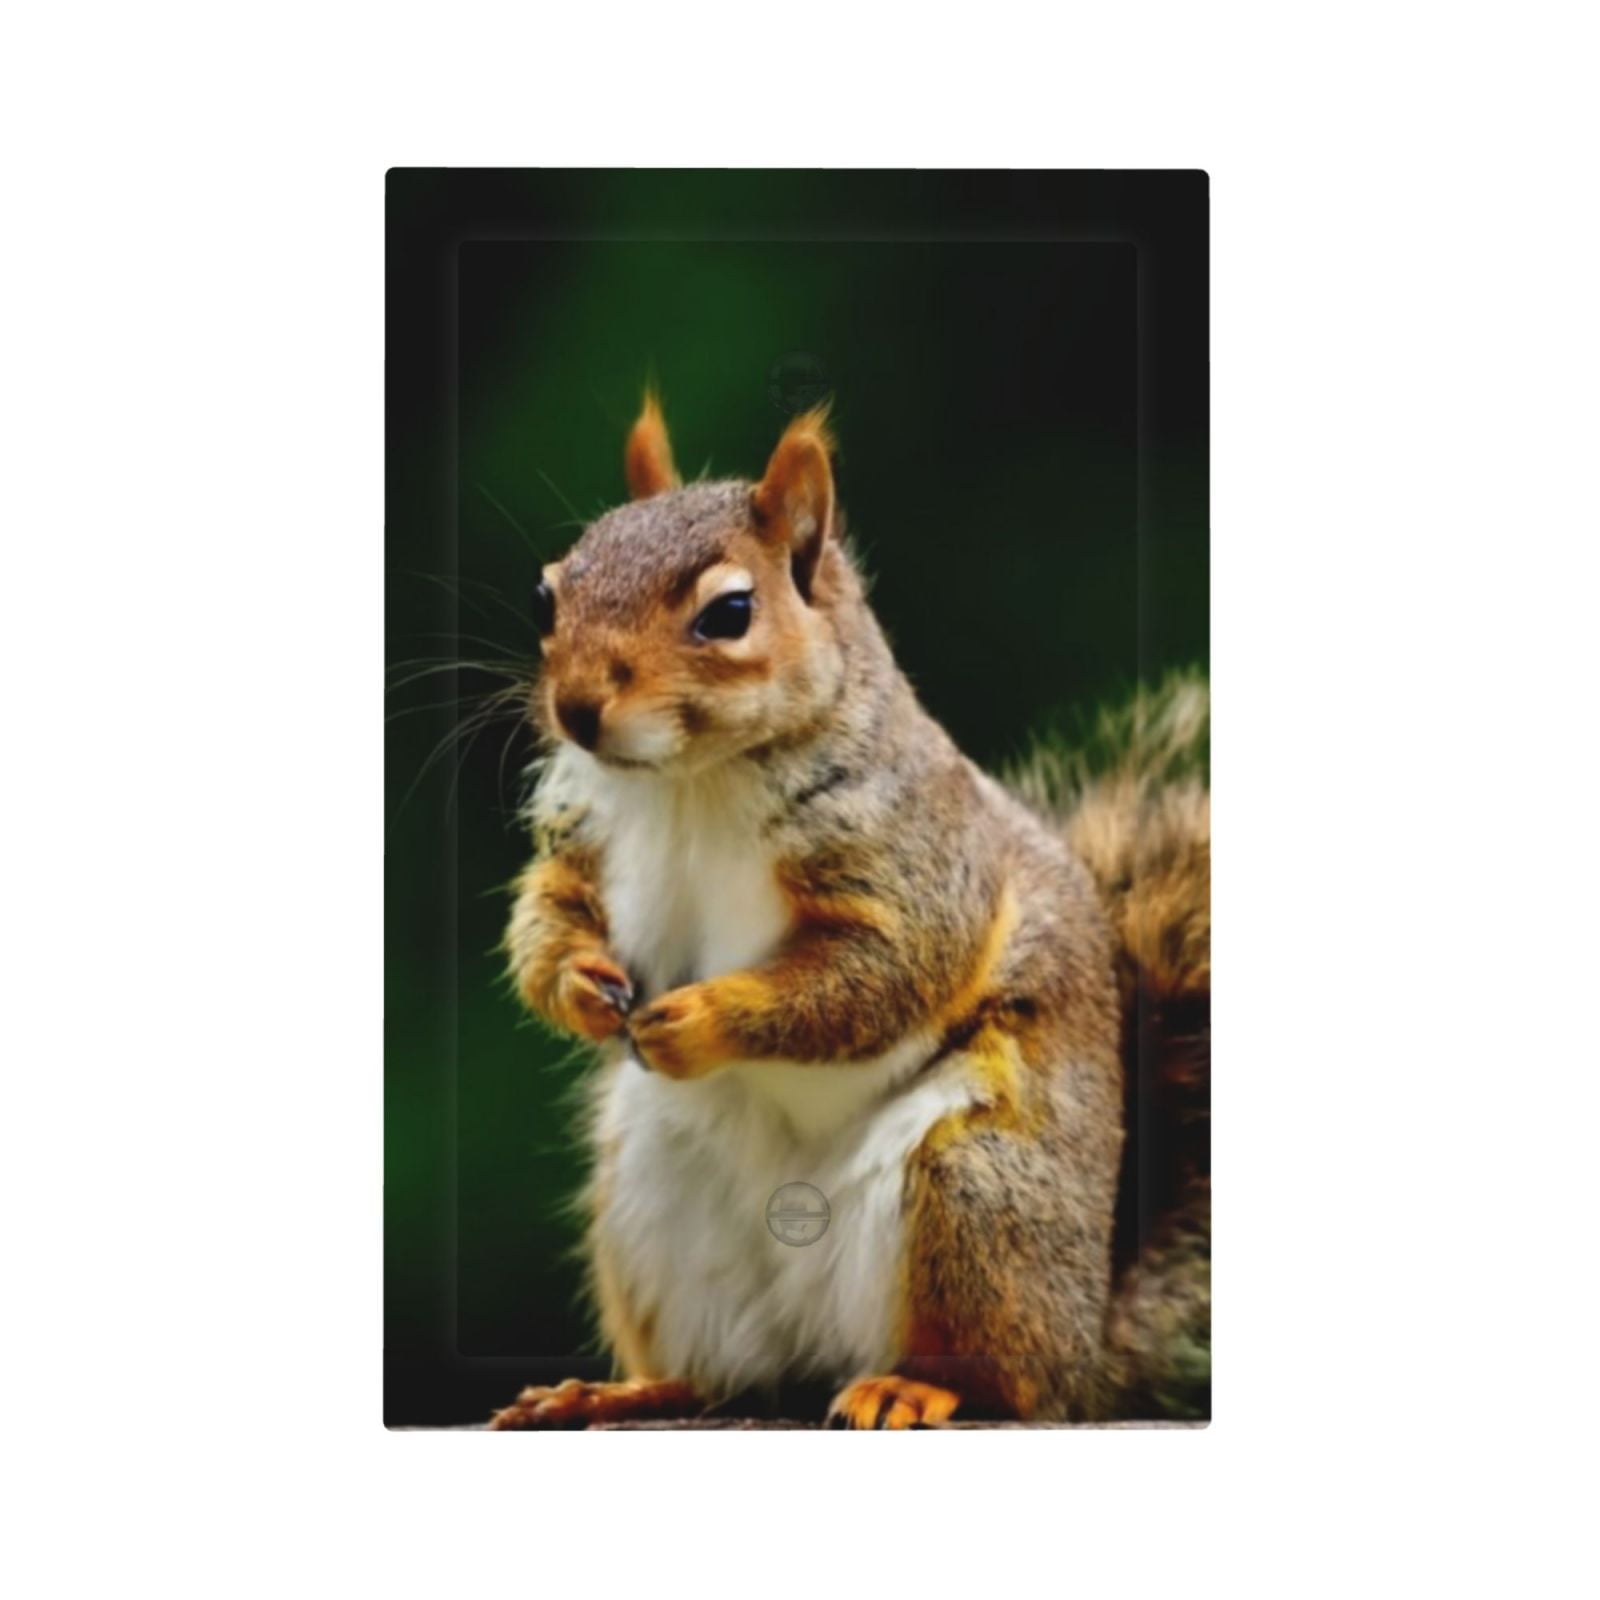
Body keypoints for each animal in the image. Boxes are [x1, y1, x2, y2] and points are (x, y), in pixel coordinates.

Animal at [490, 395, 1210, 1429]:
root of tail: (1086, 1345)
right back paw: (615, 1390)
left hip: (975, 1188)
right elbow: (547, 917)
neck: (692, 783)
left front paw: (700, 1018)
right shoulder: (585, 841)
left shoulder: (918, 861)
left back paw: (916, 1385)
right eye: (546, 596)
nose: (578, 706)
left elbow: (882, 973)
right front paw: (582, 987)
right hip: (649, 1203)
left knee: (1004, 1380)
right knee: (724, 1377)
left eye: (730, 613)